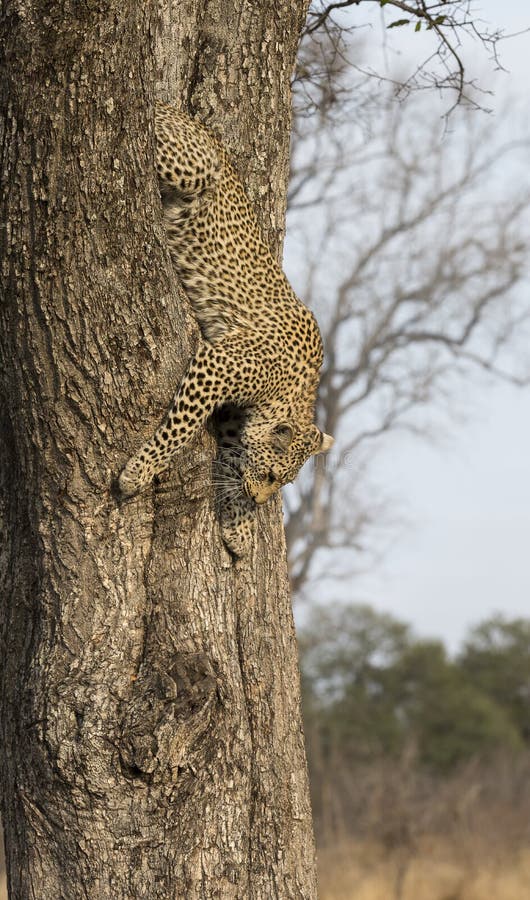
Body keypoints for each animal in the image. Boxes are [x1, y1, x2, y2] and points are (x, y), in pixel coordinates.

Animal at [118, 103, 333, 556]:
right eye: (273, 476)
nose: (261, 499)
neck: (294, 391)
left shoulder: (237, 416)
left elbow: (233, 458)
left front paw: (239, 527)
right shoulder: (217, 364)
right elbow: (181, 428)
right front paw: (139, 472)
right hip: (199, 168)